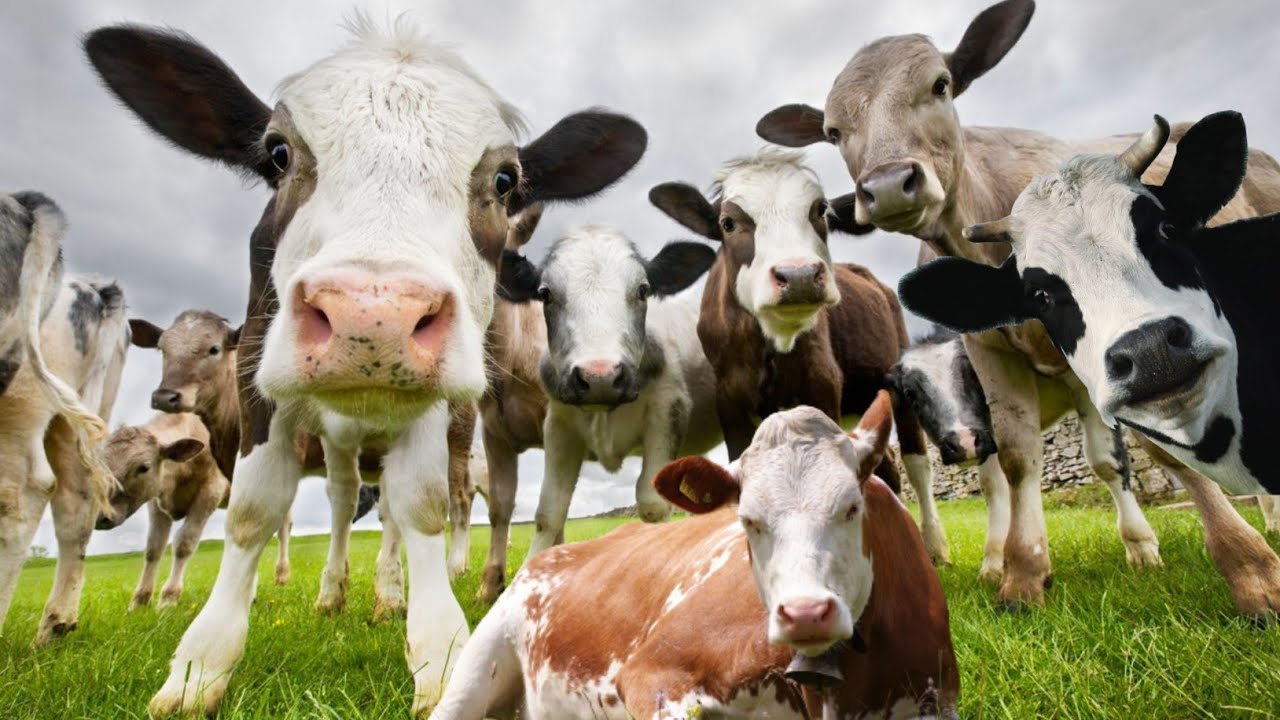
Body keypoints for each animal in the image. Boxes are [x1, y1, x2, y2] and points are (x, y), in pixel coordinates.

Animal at [93, 413, 214, 609]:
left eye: (144, 467)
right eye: (102, 464)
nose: (100, 517)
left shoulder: (210, 492)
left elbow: (184, 544)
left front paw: (169, 598)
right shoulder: (156, 501)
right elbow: (154, 547)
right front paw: (139, 602)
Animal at [496, 226, 722, 559]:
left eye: (643, 290)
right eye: (545, 293)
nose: (599, 376)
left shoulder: (669, 408)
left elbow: (652, 504)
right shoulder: (559, 426)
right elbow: (548, 513)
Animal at [649, 149, 951, 565]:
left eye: (820, 210)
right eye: (728, 222)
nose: (800, 276)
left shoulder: (821, 384)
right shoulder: (729, 401)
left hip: (896, 381)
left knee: (915, 461)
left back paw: (933, 546)